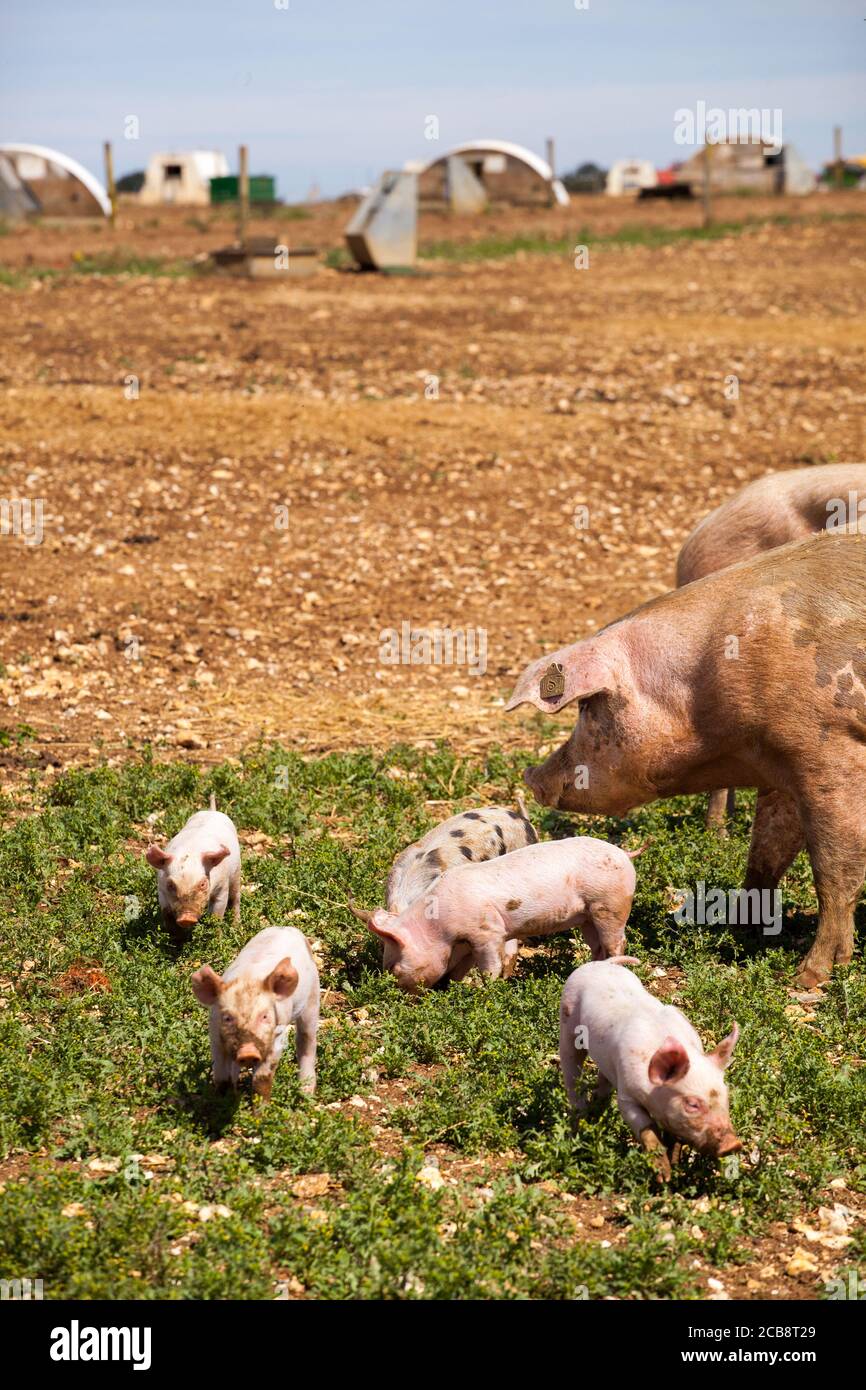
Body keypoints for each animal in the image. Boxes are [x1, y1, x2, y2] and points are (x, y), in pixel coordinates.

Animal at [145, 794, 241, 934]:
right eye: (170, 885)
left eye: (203, 884)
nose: (186, 918)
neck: (189, 852)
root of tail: (212, 811)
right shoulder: (161, 889)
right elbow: (167, 916)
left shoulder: (222, 885)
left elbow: (217, 915)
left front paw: (216, 936)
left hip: (237, 871)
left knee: (235, 897)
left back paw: (236, 926)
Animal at [191, 926, 319, 1098]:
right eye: (227, 1018)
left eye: (264, 1016)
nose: (248, 1052)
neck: (248, 980)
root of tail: (288, 928)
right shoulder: (215, 1036)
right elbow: (222, 1078)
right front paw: (225, 1099)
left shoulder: (276, 1036)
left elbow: (262, 1079)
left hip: (313, 997)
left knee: (306, 1040)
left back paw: (306, 1094)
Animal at [350, 836, 644, 993]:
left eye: (393, 967)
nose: (396, 994)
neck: (439, 927)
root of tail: (624, 853)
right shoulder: (466, 943)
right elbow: (459, 968)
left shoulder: (487, 931)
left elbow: (490, 965)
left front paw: (486, 988)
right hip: (586, 916)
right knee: (597, 945)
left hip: (610, 903)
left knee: (617, 941)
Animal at [508, 530, 866, 986]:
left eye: (587, 709)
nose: (531, 779)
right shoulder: (780, 762)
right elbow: (766, 850)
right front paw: (739, 930)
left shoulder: (831, 748)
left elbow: (833, 867)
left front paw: (809, 977)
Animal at [559, 958, 741, 1180]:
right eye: (692, 1104)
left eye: (726, 1096)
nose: (733, 1144)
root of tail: (600, 963)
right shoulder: (626, 1092)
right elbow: (645, 1125)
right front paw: (664, 1176)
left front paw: (676, 1166)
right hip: (567, 1019)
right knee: (571, 1070)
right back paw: (579, 1122)